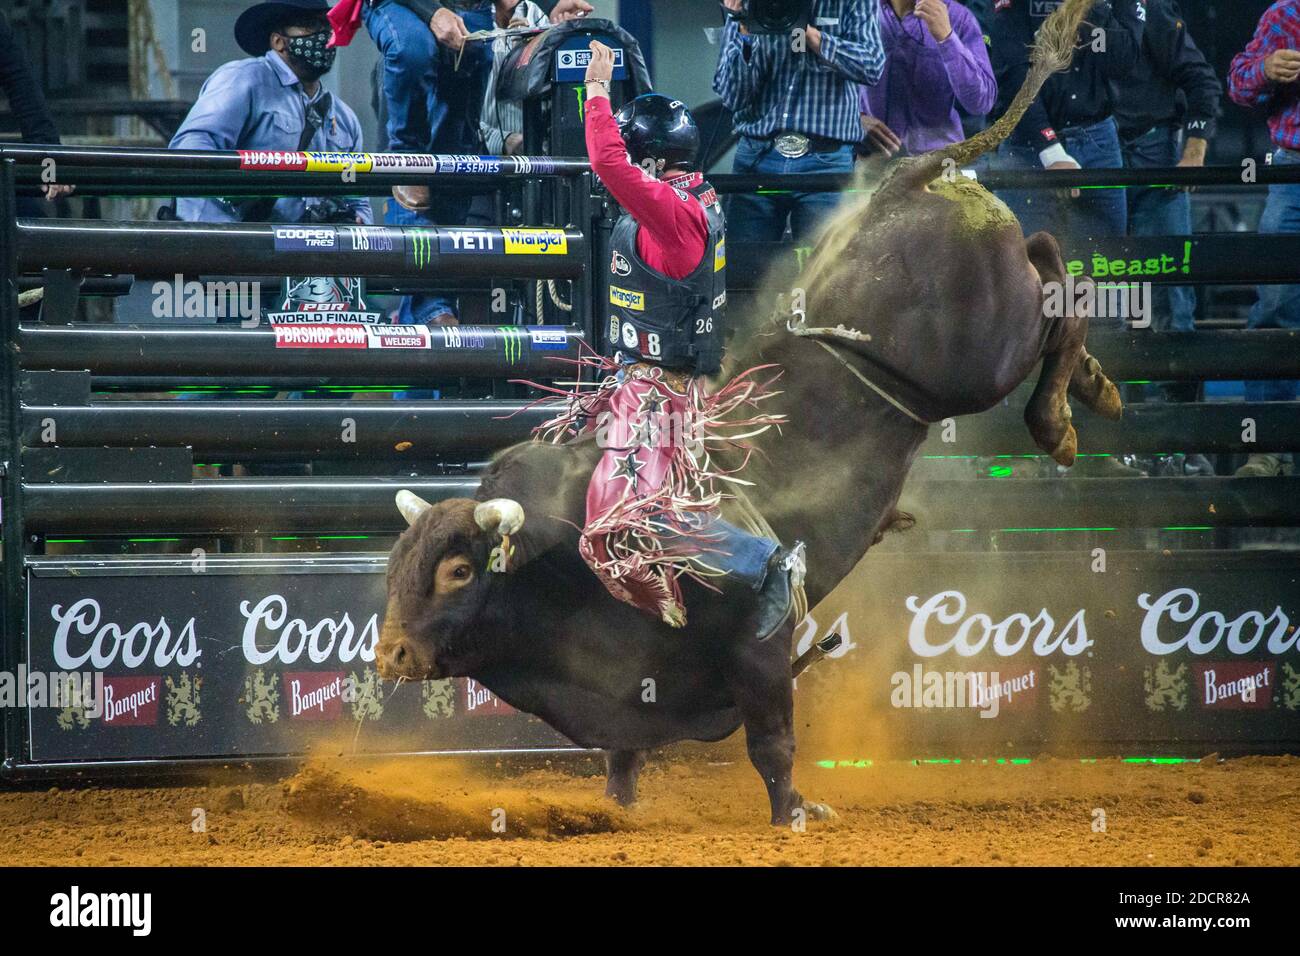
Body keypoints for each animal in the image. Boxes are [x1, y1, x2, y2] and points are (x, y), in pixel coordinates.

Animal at [376, 0, 1119, 824]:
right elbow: (624, 747)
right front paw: (618, 804)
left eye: (457, 571)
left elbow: (771, 740)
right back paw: (1087, 388)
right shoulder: (633, 691)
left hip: (985, 356)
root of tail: (913, 177)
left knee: (1058, 278)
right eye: (397, 567)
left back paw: (1063, 417)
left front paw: (795, 811)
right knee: (1052, 264)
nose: (389, 655)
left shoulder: (759, 642)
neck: (560, 561)